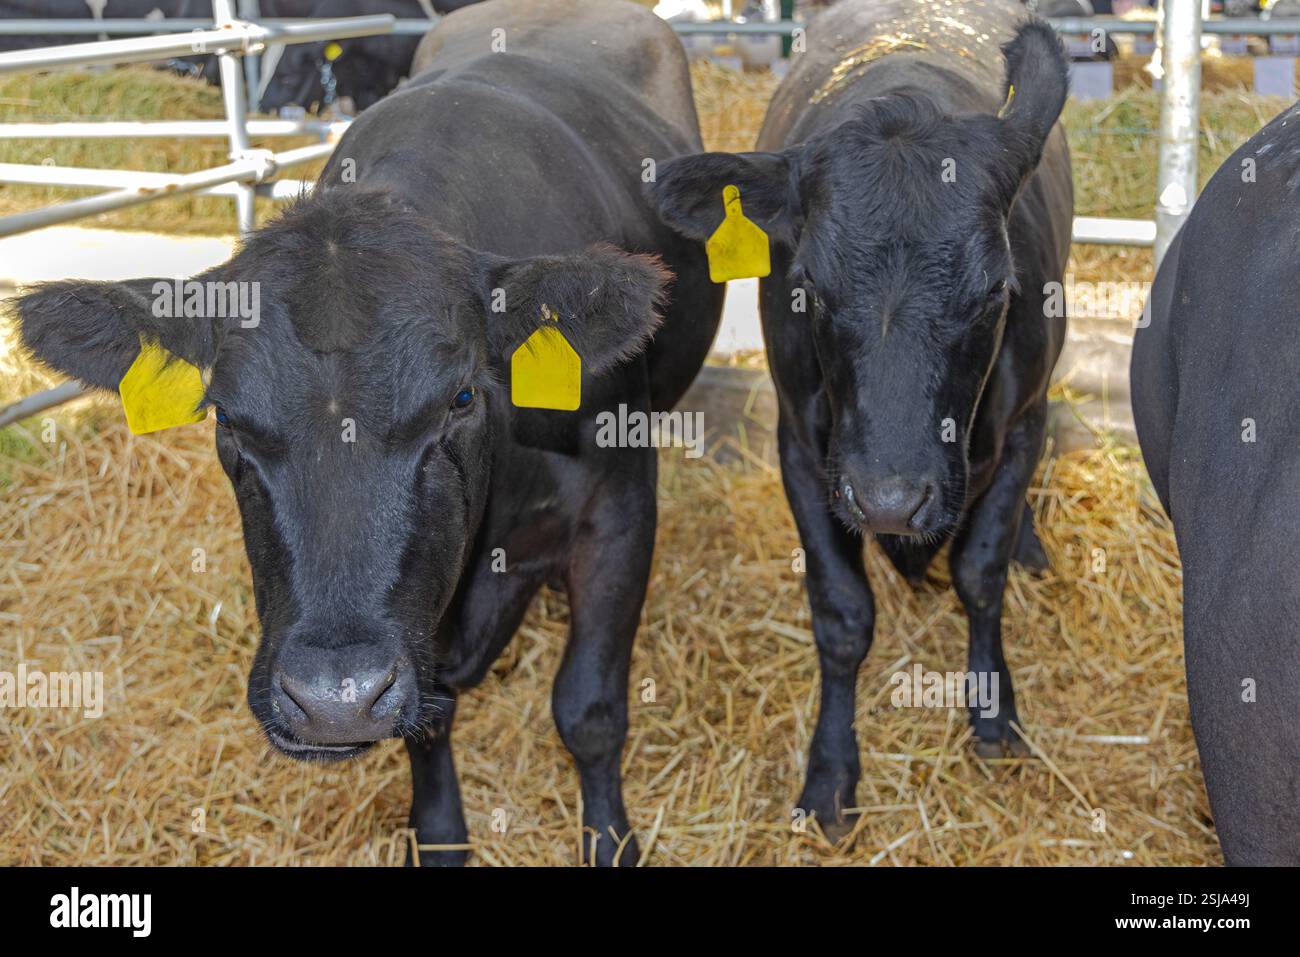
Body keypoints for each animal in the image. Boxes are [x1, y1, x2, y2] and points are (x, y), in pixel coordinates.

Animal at [10, 0, 723, 866]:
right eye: (228, 417)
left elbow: (588, 710)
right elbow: (429, 721)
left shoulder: (619, 512)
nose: (334, 700)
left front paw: (610, 840)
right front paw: (441, 835)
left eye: (460, 397)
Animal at [648, 0, 1073, 836]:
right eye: (809, 283)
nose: (889, 500)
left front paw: (993, 709)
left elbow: (980, 572)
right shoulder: (803, 449)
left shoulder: (1022, 426)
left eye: (995, 290)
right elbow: (843, 615)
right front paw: (831, 771)